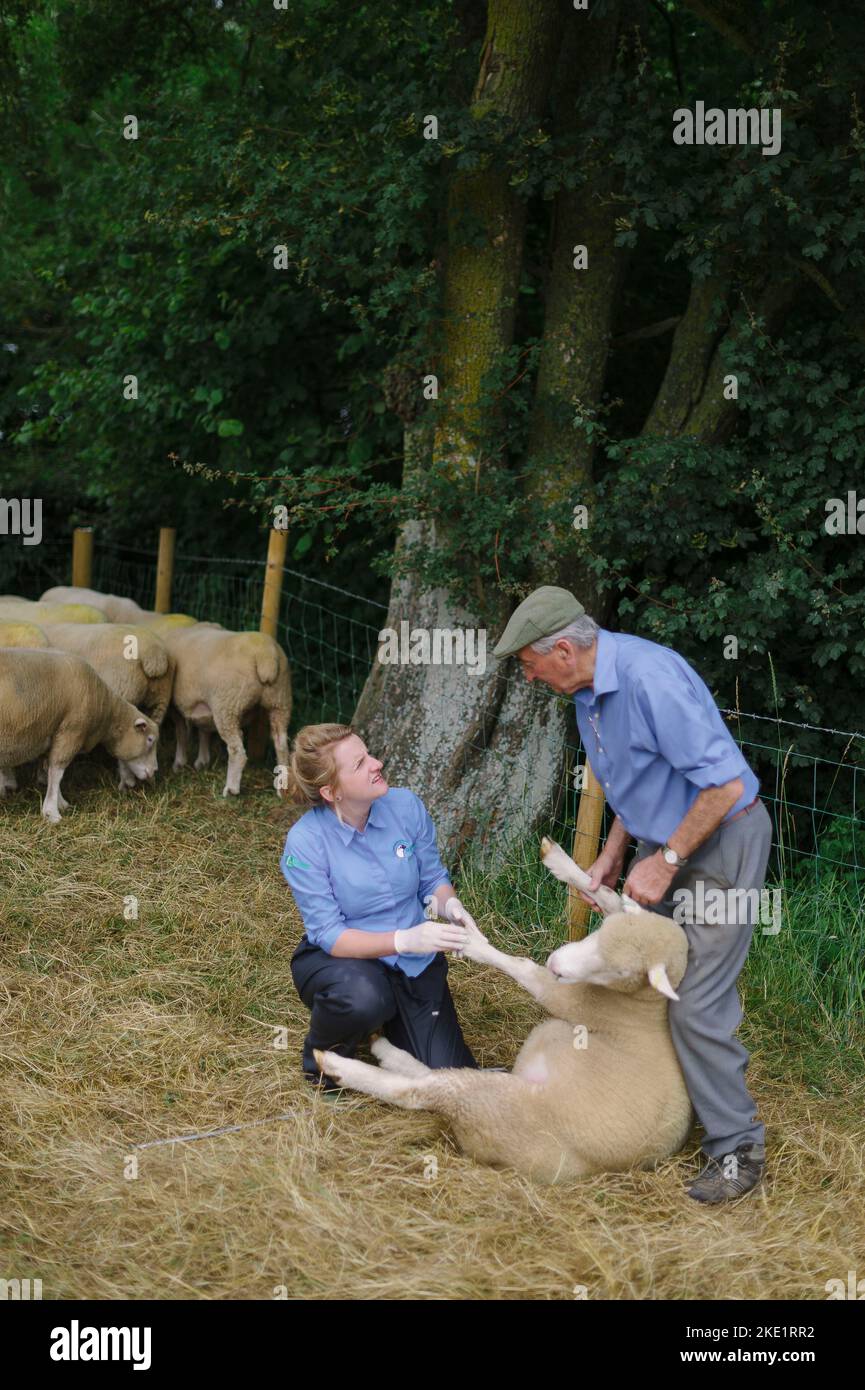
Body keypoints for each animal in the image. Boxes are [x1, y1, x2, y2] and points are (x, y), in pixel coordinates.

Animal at [0, 648, 158, 822]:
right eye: (150, 740)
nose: (155, 770)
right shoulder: (71, 732)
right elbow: (57, 772)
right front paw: (52, 813)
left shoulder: (55, 734)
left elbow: (51, 772)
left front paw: (60, 803)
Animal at [160, 624, 291, 796]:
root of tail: (266, 655)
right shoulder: (204, 706)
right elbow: (204, 731)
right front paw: (202, 761)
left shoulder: (176, 707)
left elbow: (181, 734)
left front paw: (179, 763)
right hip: (280, 701)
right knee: (281, 744)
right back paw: (282, 789)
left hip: (227, 705)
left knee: (237, 751)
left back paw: (231, 789)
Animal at [313, 837, 693, 1186]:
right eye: (599, 932)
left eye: (620, 971)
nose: (556, 962)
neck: (643, 1007)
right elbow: (608, 896)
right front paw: (560, 862)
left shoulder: (574, 999)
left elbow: (523, 966)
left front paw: (472, 942)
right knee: (438, 1075)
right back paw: (386, 1052)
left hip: (498, 1104)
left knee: (425, 1091)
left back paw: (342, 1065)